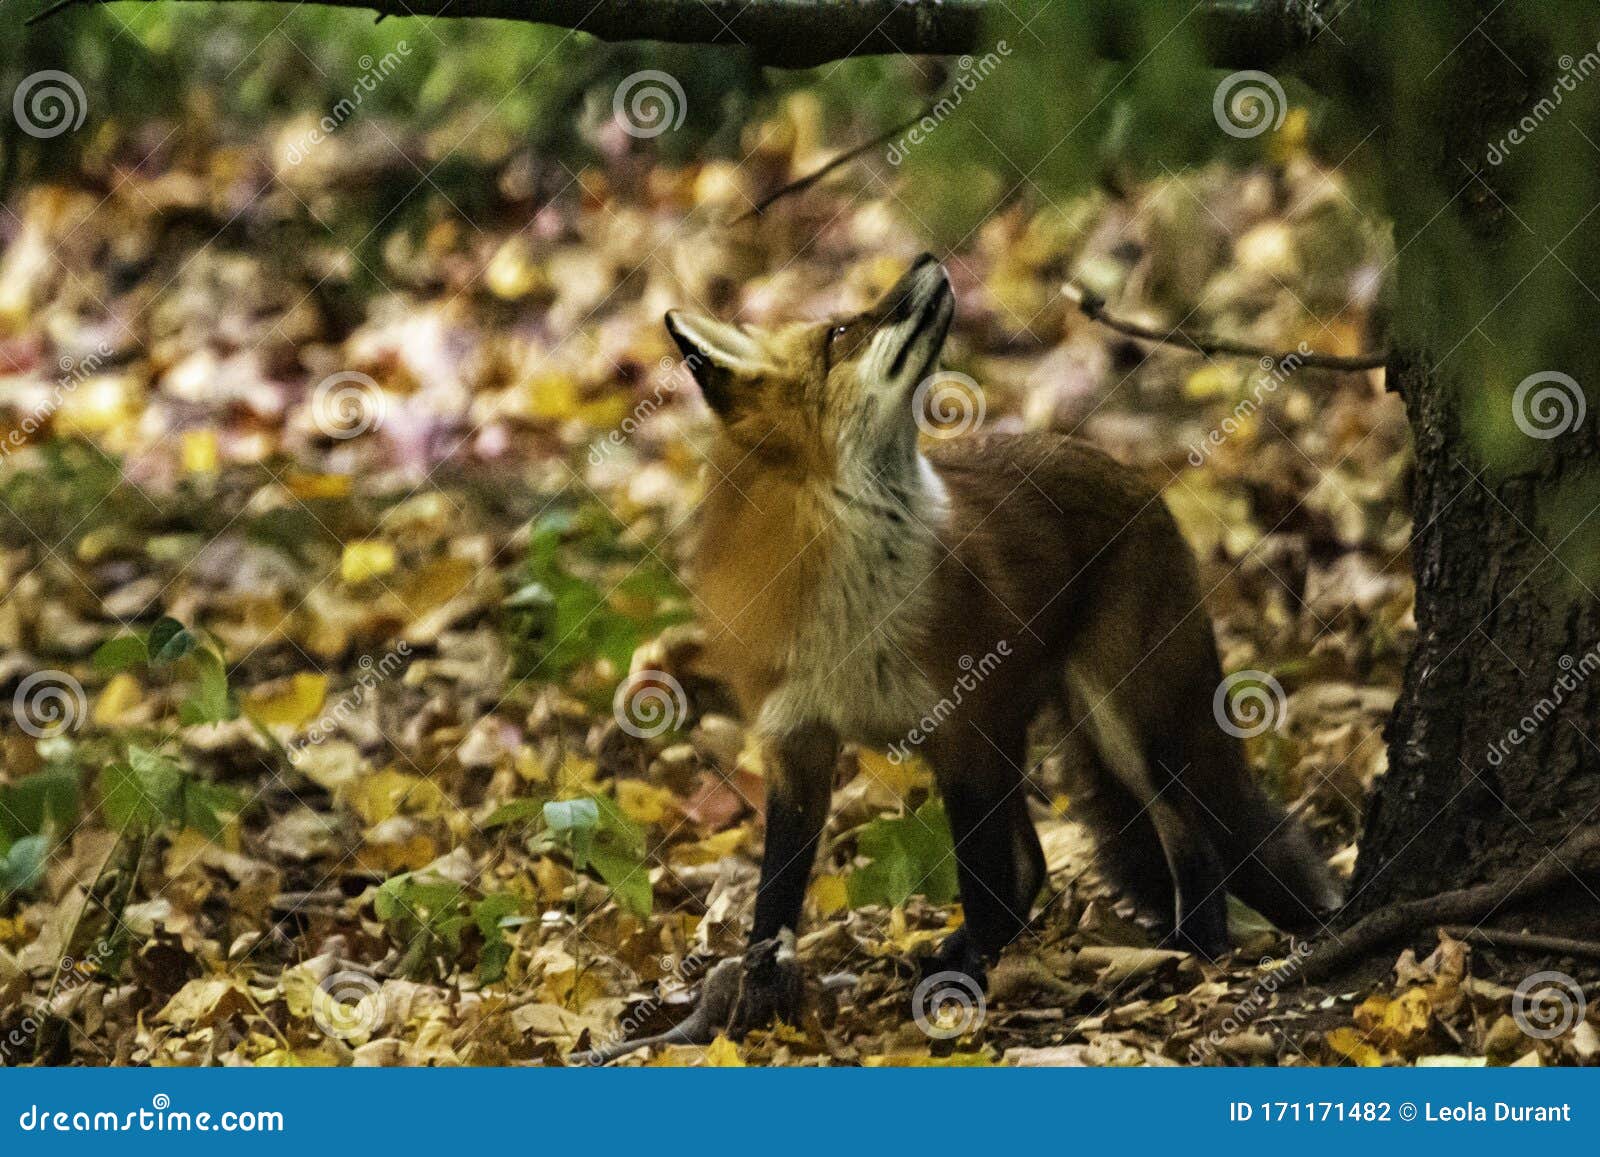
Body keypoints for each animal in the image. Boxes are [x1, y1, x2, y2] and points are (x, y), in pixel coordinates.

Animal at [661, 254, 1339, 1028]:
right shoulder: (795, 740)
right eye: (839, 333)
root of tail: (1120, 467)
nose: (925, 259)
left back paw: (1196, 949)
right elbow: (774, 898)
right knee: (1037, 863)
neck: (852, 591)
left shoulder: (962, 725)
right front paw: (759, 1001)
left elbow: (981, 878)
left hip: (1123, 721)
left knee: (1183, 837)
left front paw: (963, 993)